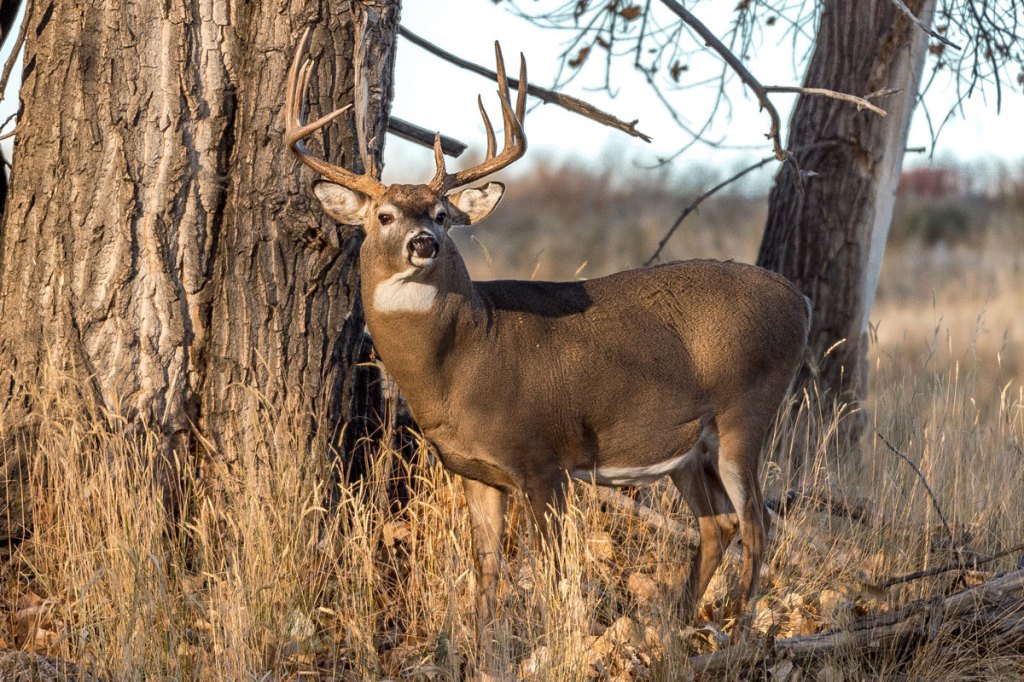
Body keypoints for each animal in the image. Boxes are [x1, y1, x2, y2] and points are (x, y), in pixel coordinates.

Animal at [284, 29, 810, 646]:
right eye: (385, 215)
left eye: (440, 213)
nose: (423, 242)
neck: (461, 363)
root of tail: (800, 300)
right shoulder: (475, 471)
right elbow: (487, 570)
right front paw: (481, 646)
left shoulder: (543, 456)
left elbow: (555, 570)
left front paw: (559, 644)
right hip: (688, 445)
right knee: (719, 522)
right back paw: (678, 625)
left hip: (746, 413)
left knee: (759, 523)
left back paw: (739, 628)